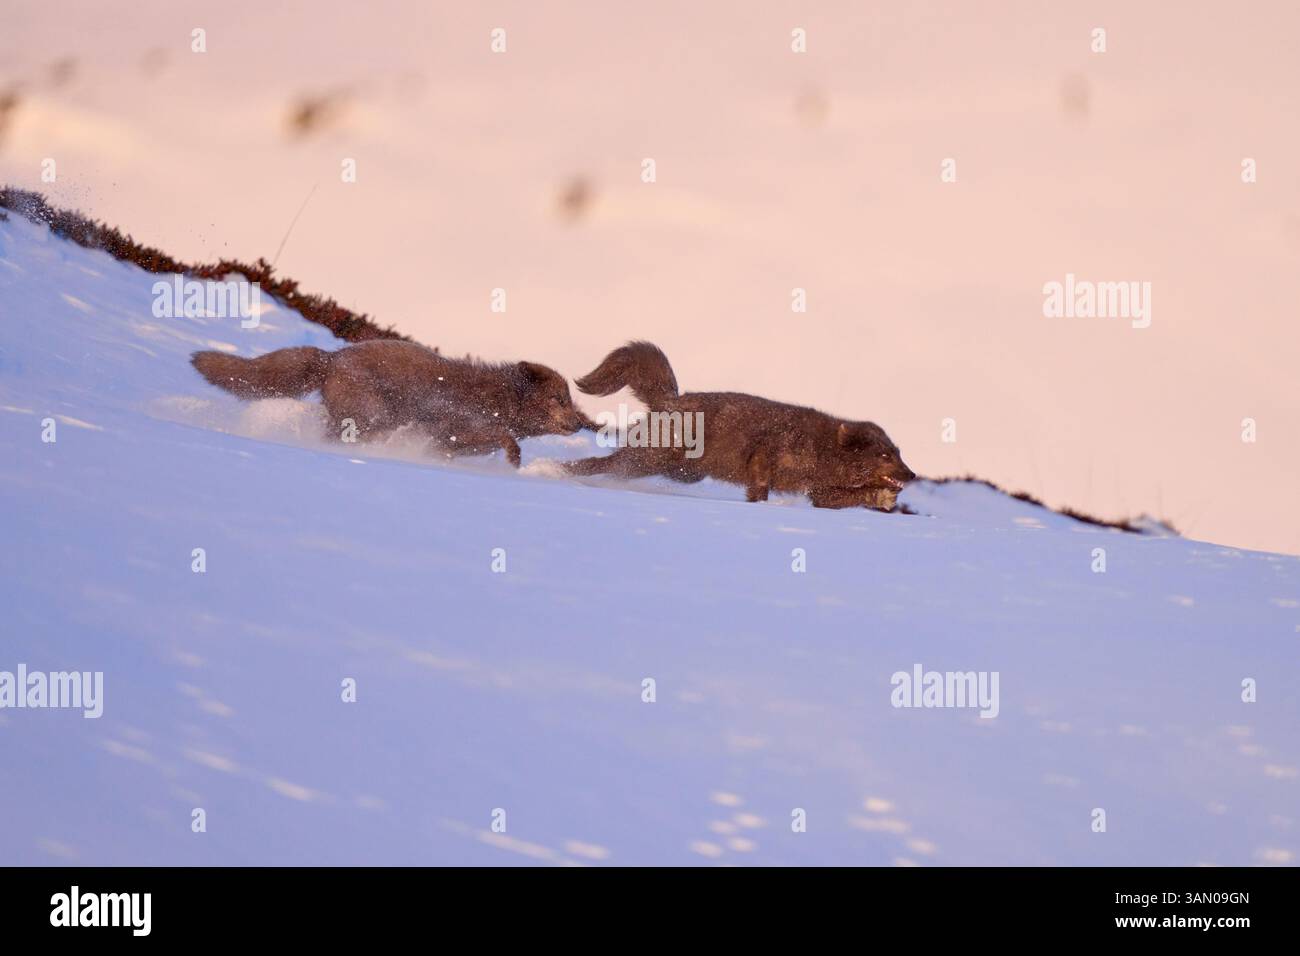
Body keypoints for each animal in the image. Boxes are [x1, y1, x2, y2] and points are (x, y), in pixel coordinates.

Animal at [190, 340, 593, 466]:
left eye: (571, 402)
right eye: (559, 399)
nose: (580, 424)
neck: (501, 399)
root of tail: (332, 357)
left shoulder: (447, 445)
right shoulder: (458, 429)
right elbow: (505, 439)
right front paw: (513, 461)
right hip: (370, 418)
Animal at [566, 341, 916, 510]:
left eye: (899, 453)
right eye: (885, 456)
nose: (912, 475)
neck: (826, 451)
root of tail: (671, 400)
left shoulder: (820, 493)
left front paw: (883, 498)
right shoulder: (766, 455)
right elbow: (759, 488)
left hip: (678, 472)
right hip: (649, 460)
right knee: (596, 463)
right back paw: (558, 470)